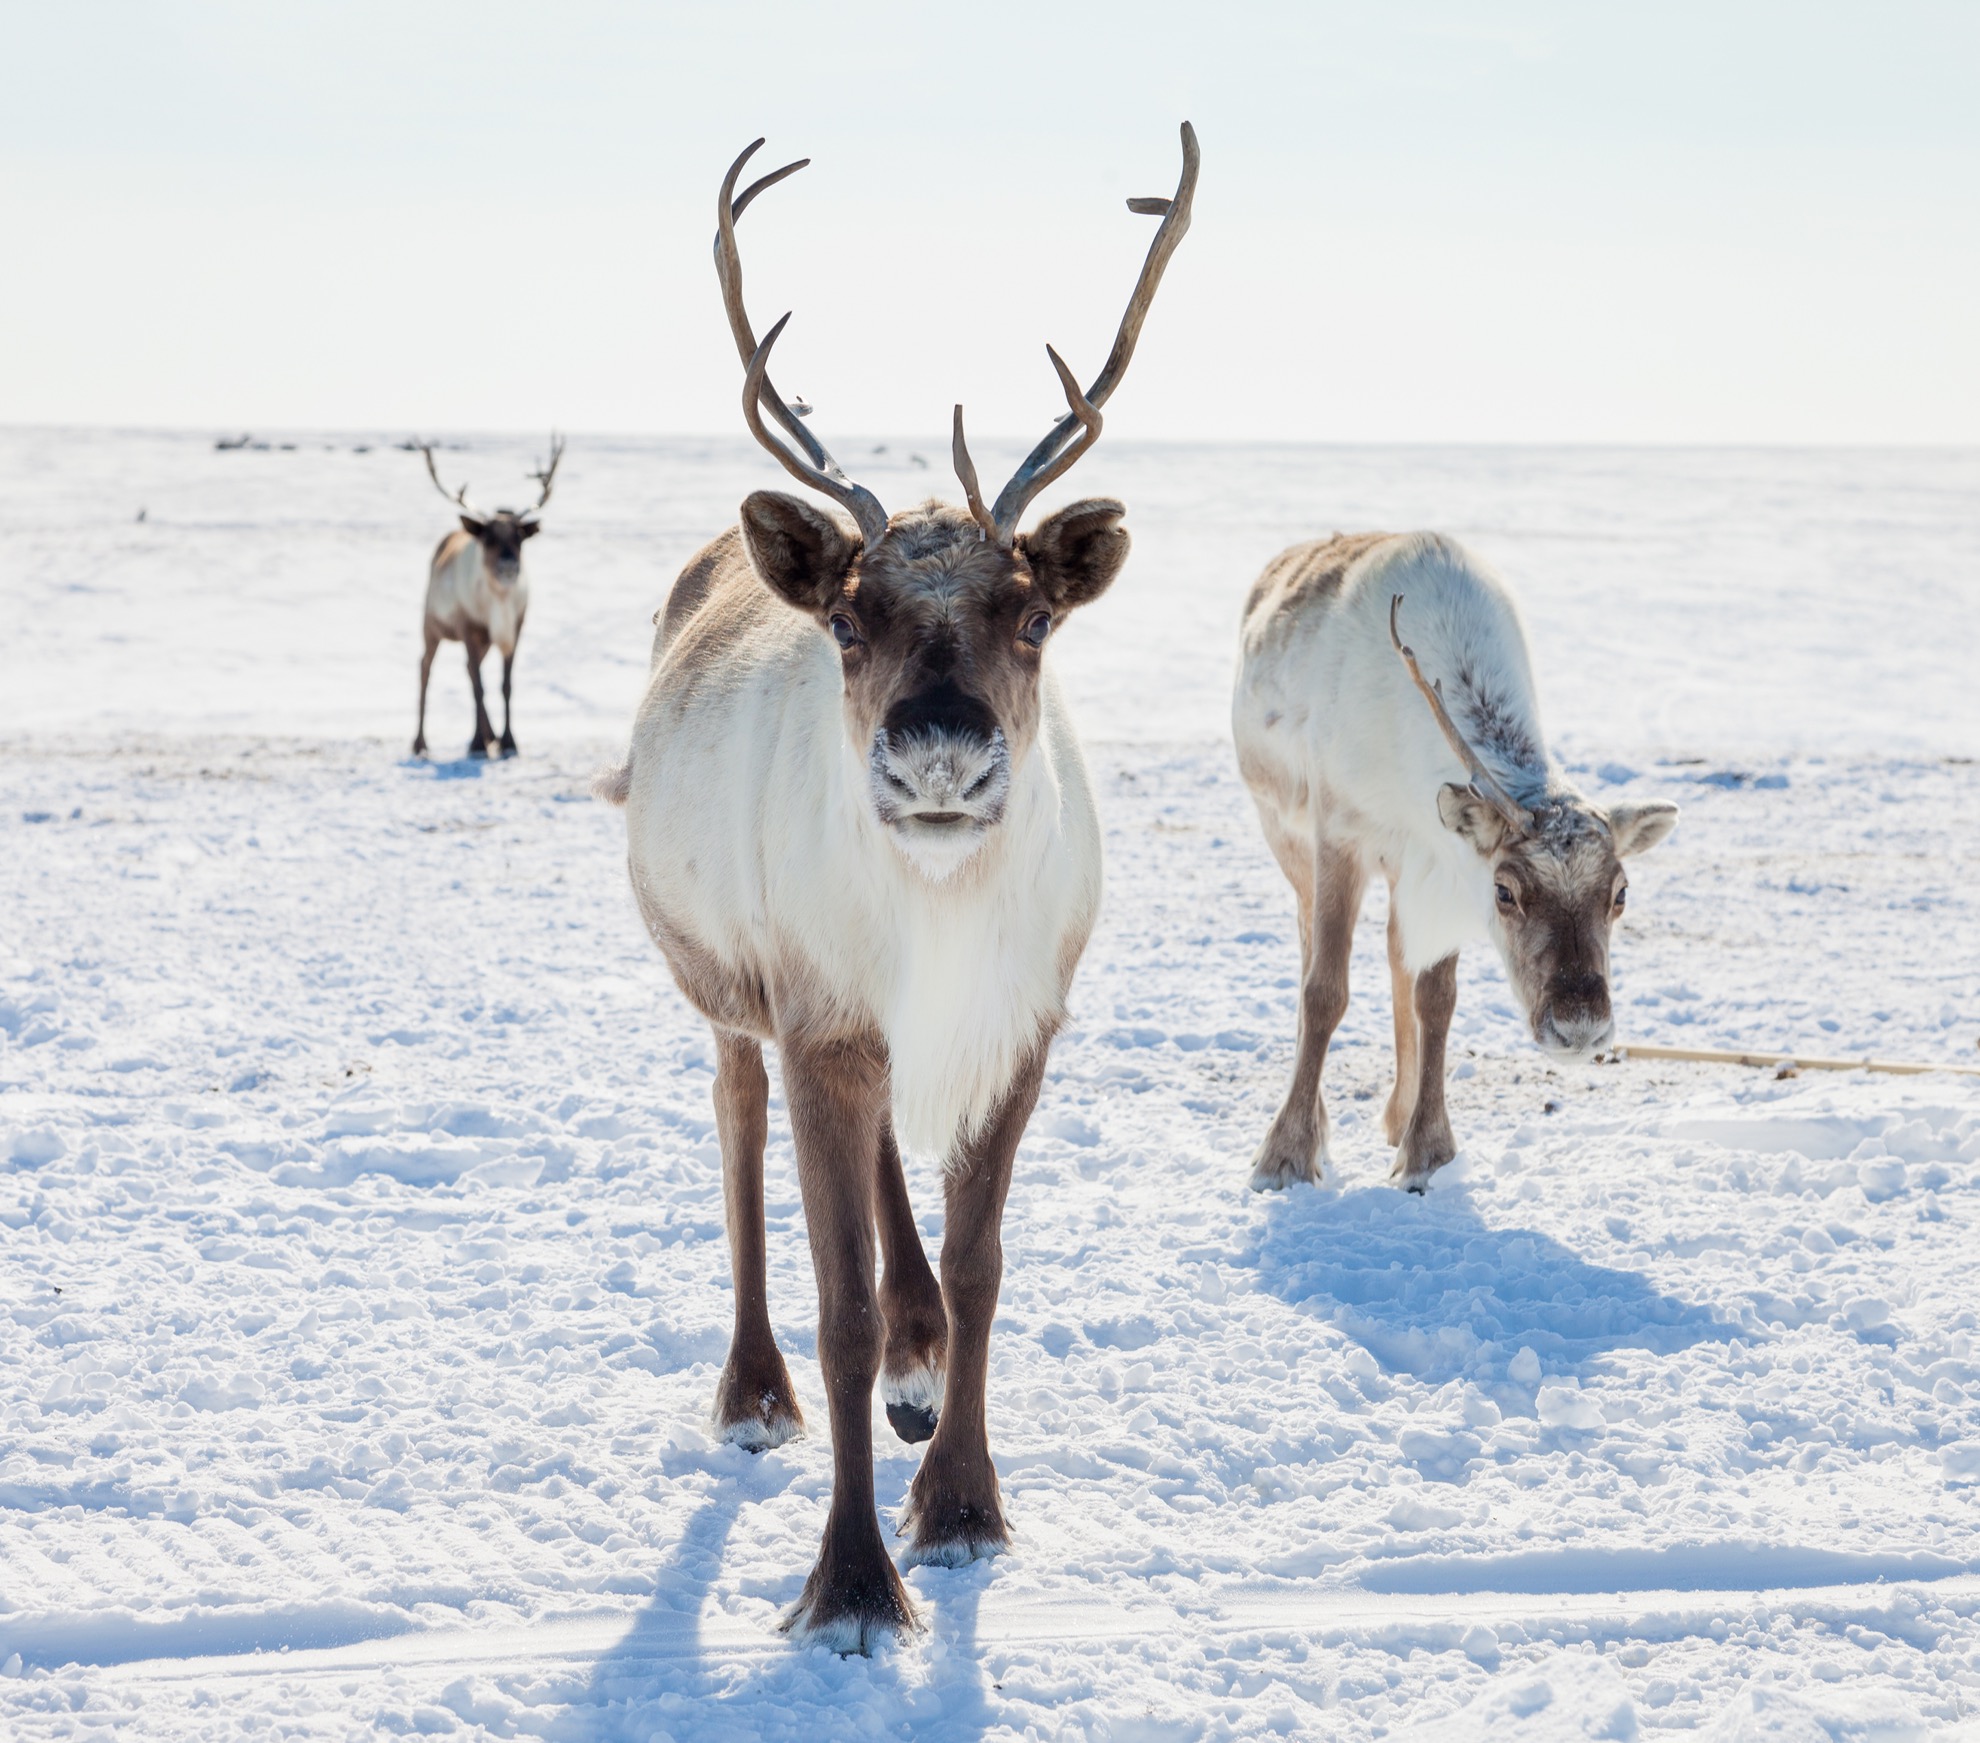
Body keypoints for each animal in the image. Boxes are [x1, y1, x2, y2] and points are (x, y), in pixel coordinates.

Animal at [412, 434, 563, 759]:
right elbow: (479, 686)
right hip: (431, 625)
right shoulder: (467, 625)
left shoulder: (516, 626)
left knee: (470, 669)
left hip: (483, 641)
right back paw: (421, 743)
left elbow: (505, 684)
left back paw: (489, 735)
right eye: (488, 538)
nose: (508, 567)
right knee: (426, 669)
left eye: (519, 537)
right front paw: (480, 744)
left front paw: (507, 741)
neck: (498, 602)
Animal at [594, 124, 1197, 1651]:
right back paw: (754, 1387)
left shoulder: (1020, 1023)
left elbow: (980, 1270)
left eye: (1034, 615)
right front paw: (854, 1577)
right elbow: (842, 1306)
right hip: (735, 994)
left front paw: (965, 1500)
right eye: (851, 620)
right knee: (739, 1125)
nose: (938, 752)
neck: (937, 917)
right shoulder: (820, 1019)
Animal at [1232, 532, 1679, 1193]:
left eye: (1620, 893)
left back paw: (1397, 1114)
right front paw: (1284, 1156)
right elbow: (1324, 991)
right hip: (1284, 833)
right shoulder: (1339, 837)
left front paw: (1427, 1151)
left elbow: (1436, 999)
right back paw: (1319, 1120)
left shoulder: (1443, 870)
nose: (1580, 1028)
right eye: (1506, 892)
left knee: (1396, 953)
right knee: (1309, 948)